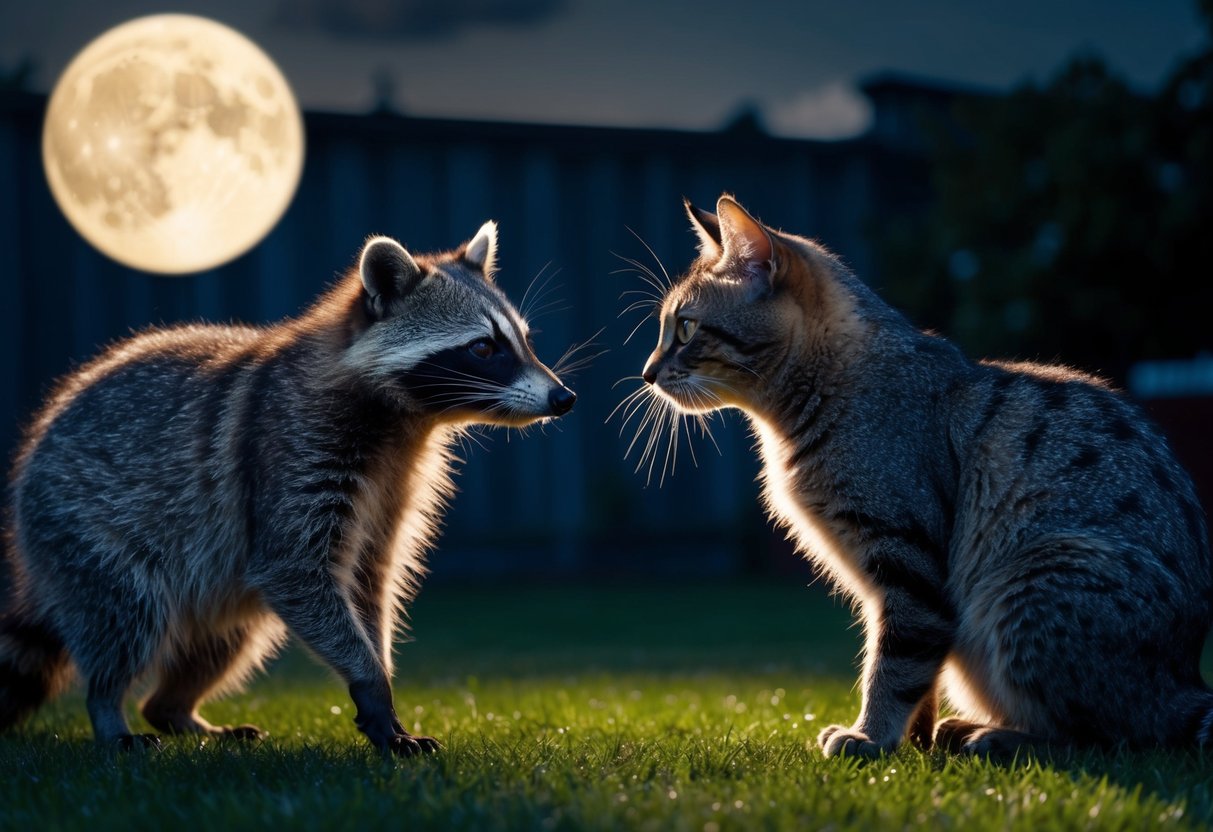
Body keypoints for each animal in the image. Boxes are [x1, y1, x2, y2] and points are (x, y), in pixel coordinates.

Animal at [1, 223, 576, 752]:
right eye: (483, 347)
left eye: (526, 341)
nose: (563, 398)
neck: (404, 419)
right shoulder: (291, 448)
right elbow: (293, 567)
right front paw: (371, 683)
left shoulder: (392, 489)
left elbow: (370, 581)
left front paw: (382, 686)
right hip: (81, 527)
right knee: (126, 616)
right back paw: (109, 711)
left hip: (212, 580)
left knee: (226, 642)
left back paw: (175, 709)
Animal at [636, 193, 1213, 757]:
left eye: (684, 327)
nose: (646, 372)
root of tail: (1186, 684)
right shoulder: (882, 583)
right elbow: (908, 666)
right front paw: (914, 741)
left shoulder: (905, 559)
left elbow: (894, 664)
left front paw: (871, 737)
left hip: (1036, 577)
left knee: (1107, 736)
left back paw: (997, 737)